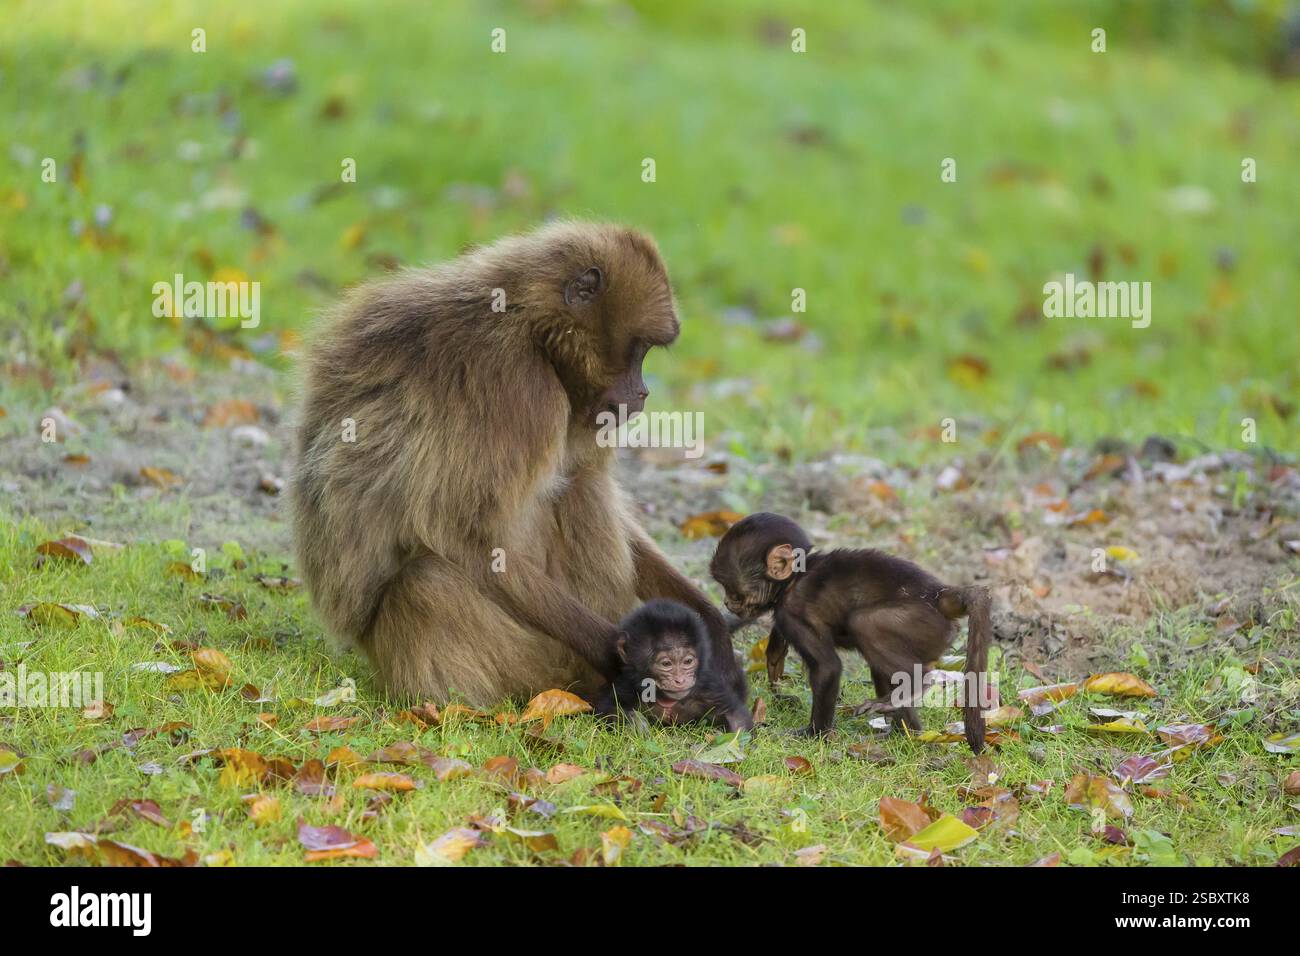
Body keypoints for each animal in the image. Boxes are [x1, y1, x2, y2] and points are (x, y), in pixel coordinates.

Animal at [292, 221, 747, 714]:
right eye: (640, 348)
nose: (642, 393)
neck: (530, 327)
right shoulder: (515, 383)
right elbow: (465, 533)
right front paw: (621, 657)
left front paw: (709, 624)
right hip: (532, 660)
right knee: (425, 584)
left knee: (580, 483)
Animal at [592, 599, 752, 731]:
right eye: (666, 664)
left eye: (687, 661)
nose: (680, 680)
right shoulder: (628, 687)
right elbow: (605, 707)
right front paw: (632, 722)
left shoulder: (708, 689)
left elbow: (735, 717)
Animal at [709, 512, 992, 753]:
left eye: (733, 591)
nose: (727, 603)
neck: (794, 580)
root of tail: (938, 596)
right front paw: (775, 655)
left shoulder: (791, 613)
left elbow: (828, 668)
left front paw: (813, 734)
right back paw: (906, 733)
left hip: (927, 626)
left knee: (864, 623)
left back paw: (915, 685)